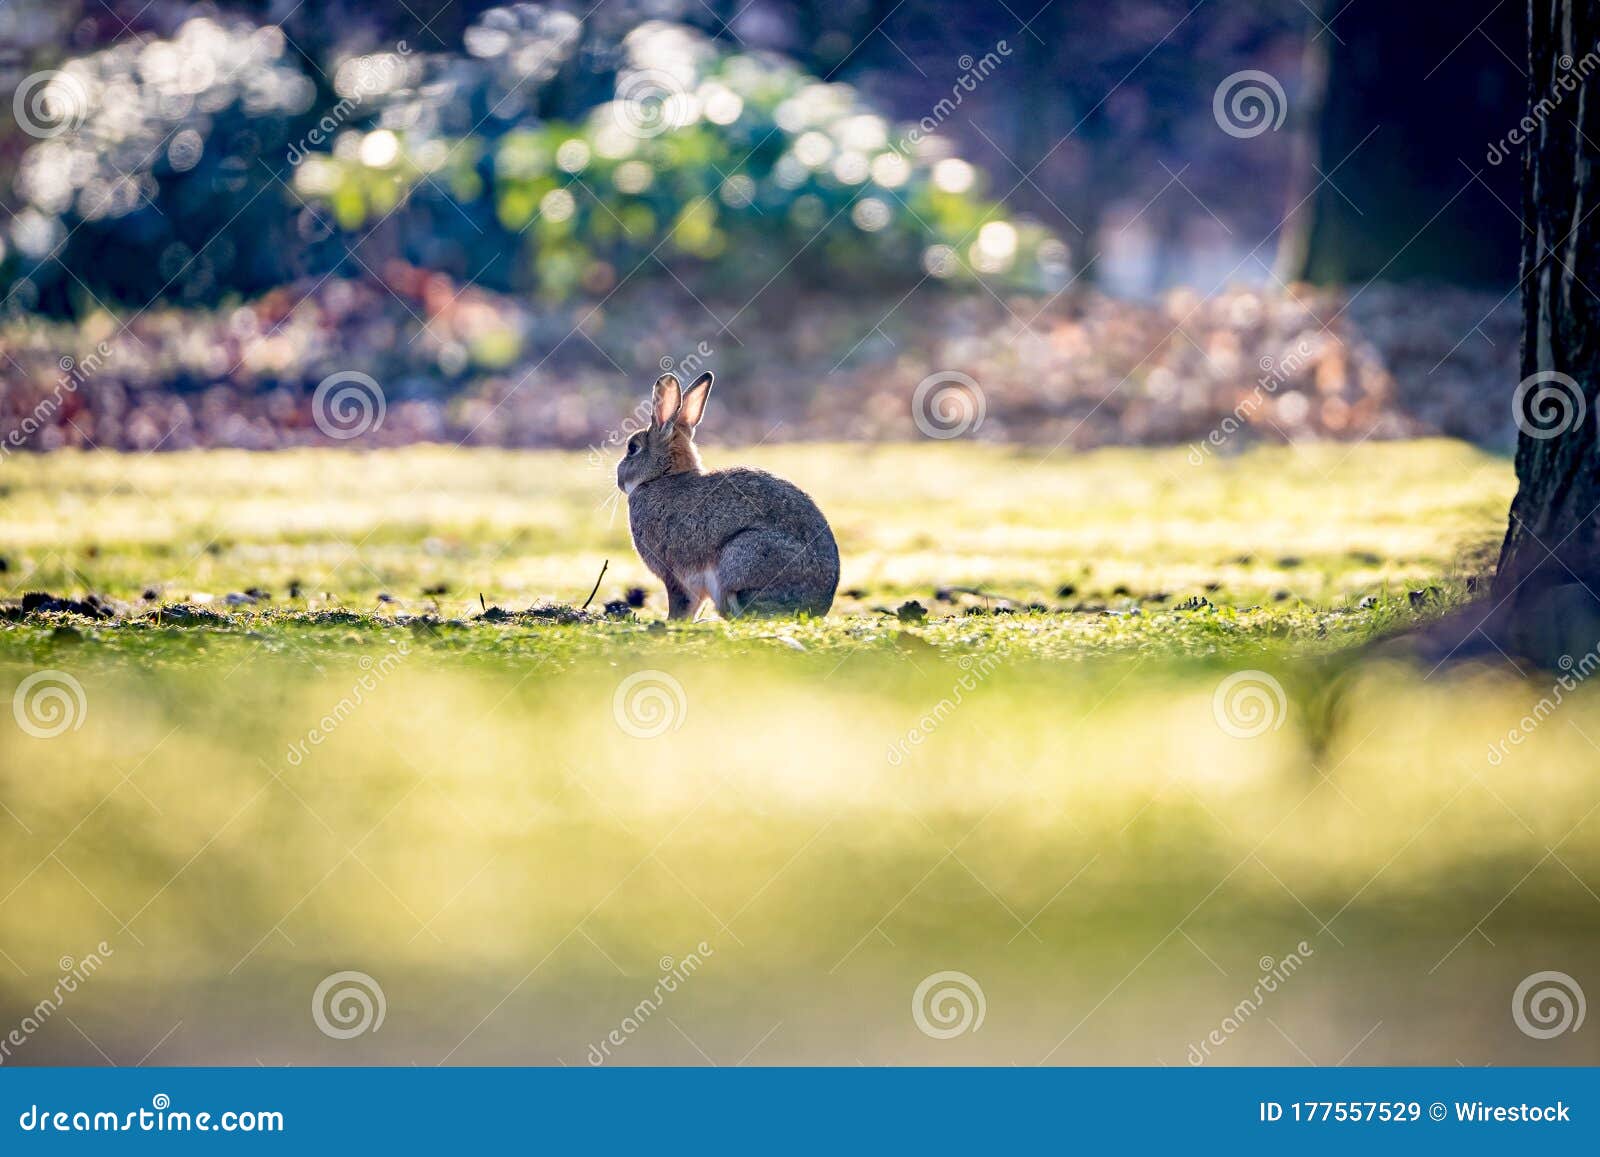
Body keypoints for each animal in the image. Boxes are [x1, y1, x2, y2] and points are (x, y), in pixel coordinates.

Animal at [617, 370, 840, 619]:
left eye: (632, 448)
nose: (619, 479)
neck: (661, 477)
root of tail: (818, 605)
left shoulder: (674, 575)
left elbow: (681, 602)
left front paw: (670, 622)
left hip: (741, 556)